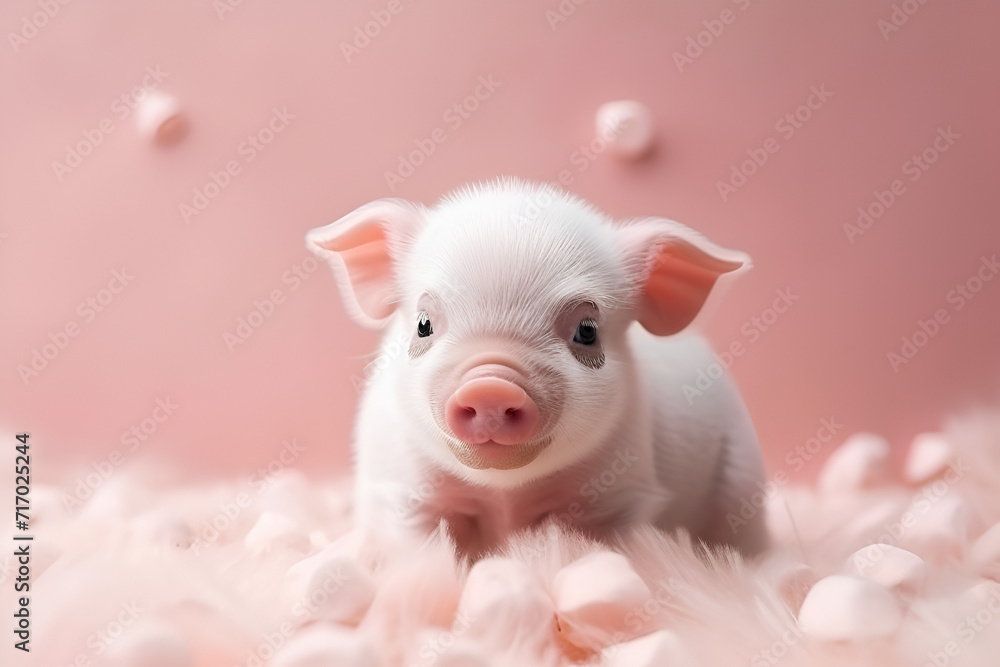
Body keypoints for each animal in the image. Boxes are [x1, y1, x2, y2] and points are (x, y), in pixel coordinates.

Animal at [306, 179, 769, 558]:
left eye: (587, 330)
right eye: (423, 324)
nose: (490, 386)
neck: (504, 498)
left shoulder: (621, 493)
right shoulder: (401, 490)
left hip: (742, 476)